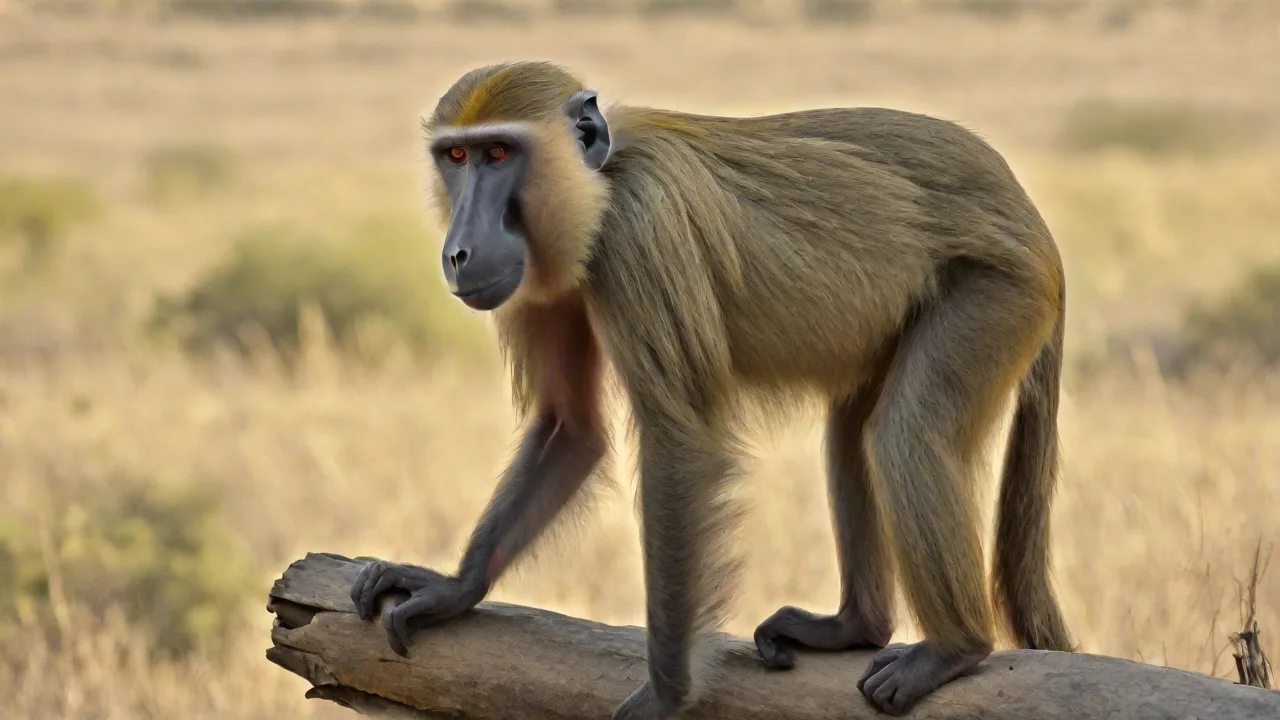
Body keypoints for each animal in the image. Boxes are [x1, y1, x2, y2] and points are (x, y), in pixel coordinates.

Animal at [349, 60, 1075, 718]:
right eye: (456, 156)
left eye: (499, 153)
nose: (459, 251)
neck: (600, 184)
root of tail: (1038, 232)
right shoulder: (546, 276)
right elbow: (570, 428)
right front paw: (455, 587)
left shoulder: (639, 231)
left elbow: (679, 446)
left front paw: (666, 696)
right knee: (853, 434)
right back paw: (856, 626)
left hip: (997, 292)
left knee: (905, 434)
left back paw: (956, 648)